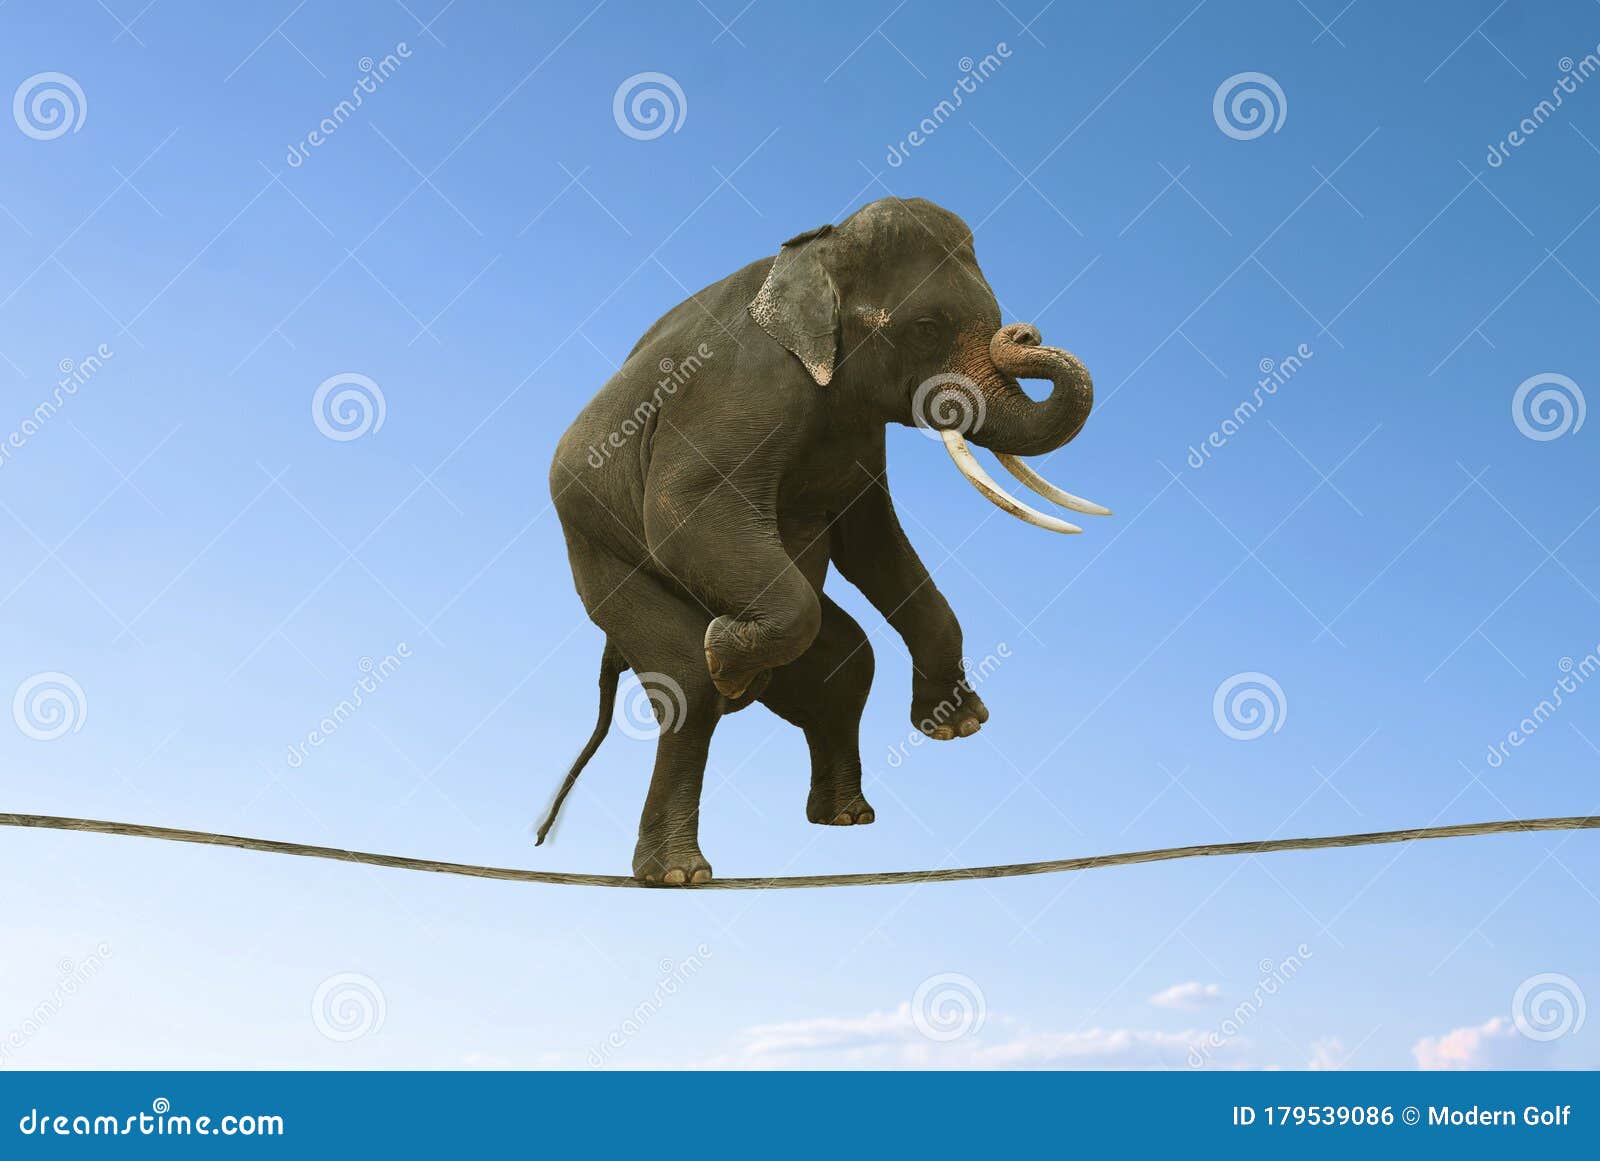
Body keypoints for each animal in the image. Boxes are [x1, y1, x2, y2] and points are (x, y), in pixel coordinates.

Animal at [540, 196, 1108, 884]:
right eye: (925, 329)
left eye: (998, 325)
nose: (1025, 335)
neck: (814, 259)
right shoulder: (737, 394)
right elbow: (682, 516)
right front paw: (725, 655)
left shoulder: (858, 429)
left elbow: (871, 539)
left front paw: (958, 728)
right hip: (598, 555)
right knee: (687, 685)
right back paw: (680, 866)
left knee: (847, 661)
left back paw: (843, 816)